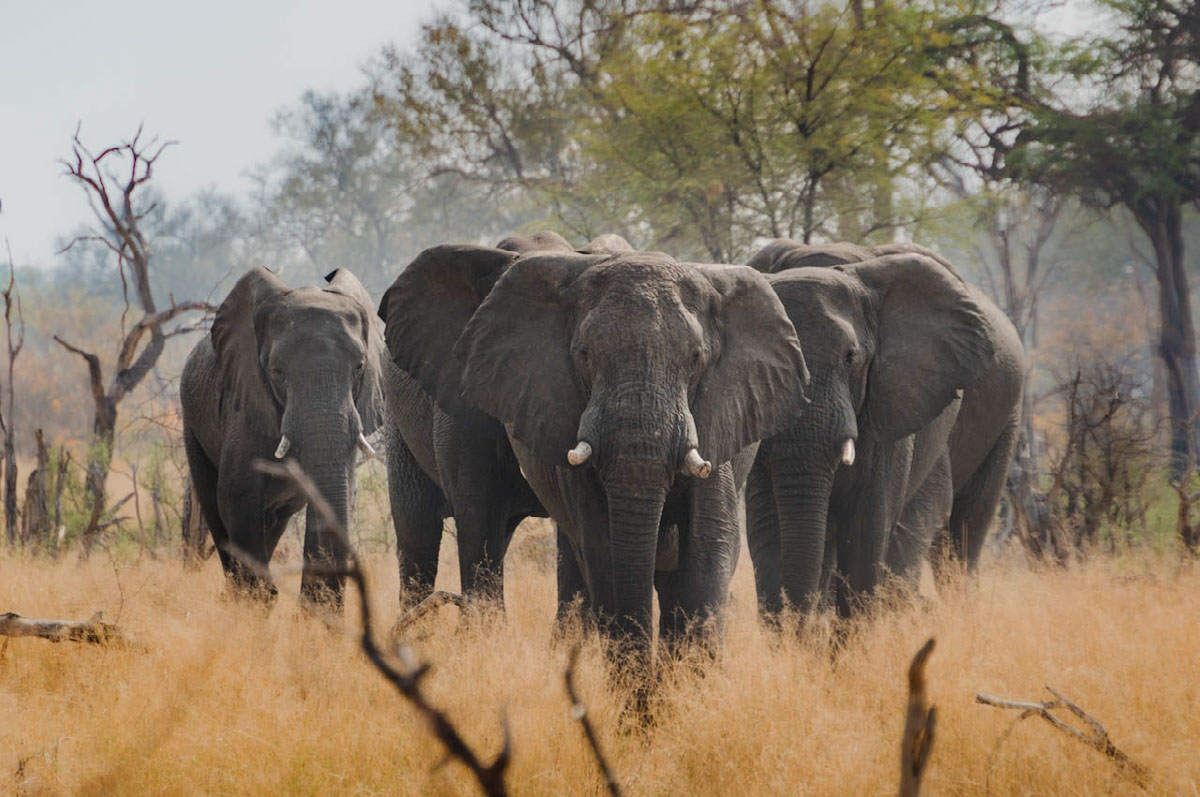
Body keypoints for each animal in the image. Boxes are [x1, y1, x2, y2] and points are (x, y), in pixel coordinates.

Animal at [180, 267, 384, 604]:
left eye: (359, 367)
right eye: (277, 372)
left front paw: (319, 609)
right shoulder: (245, 399)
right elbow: (238, 493)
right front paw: (256, 603)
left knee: (275, 519)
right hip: (192, 425)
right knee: (214, 505)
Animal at [381, 238, 809, 667]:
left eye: (696, 359)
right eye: (584, 354)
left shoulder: (716, 416)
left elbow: (706, 545)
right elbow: (511, 523)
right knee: (423, 529)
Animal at [744, 240, 1025, 618]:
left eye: (850, 357)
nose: (799, 624)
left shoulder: (892, 407)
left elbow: (868, 525)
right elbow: (765, 521)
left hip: (1006, 414)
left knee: (965, 530)